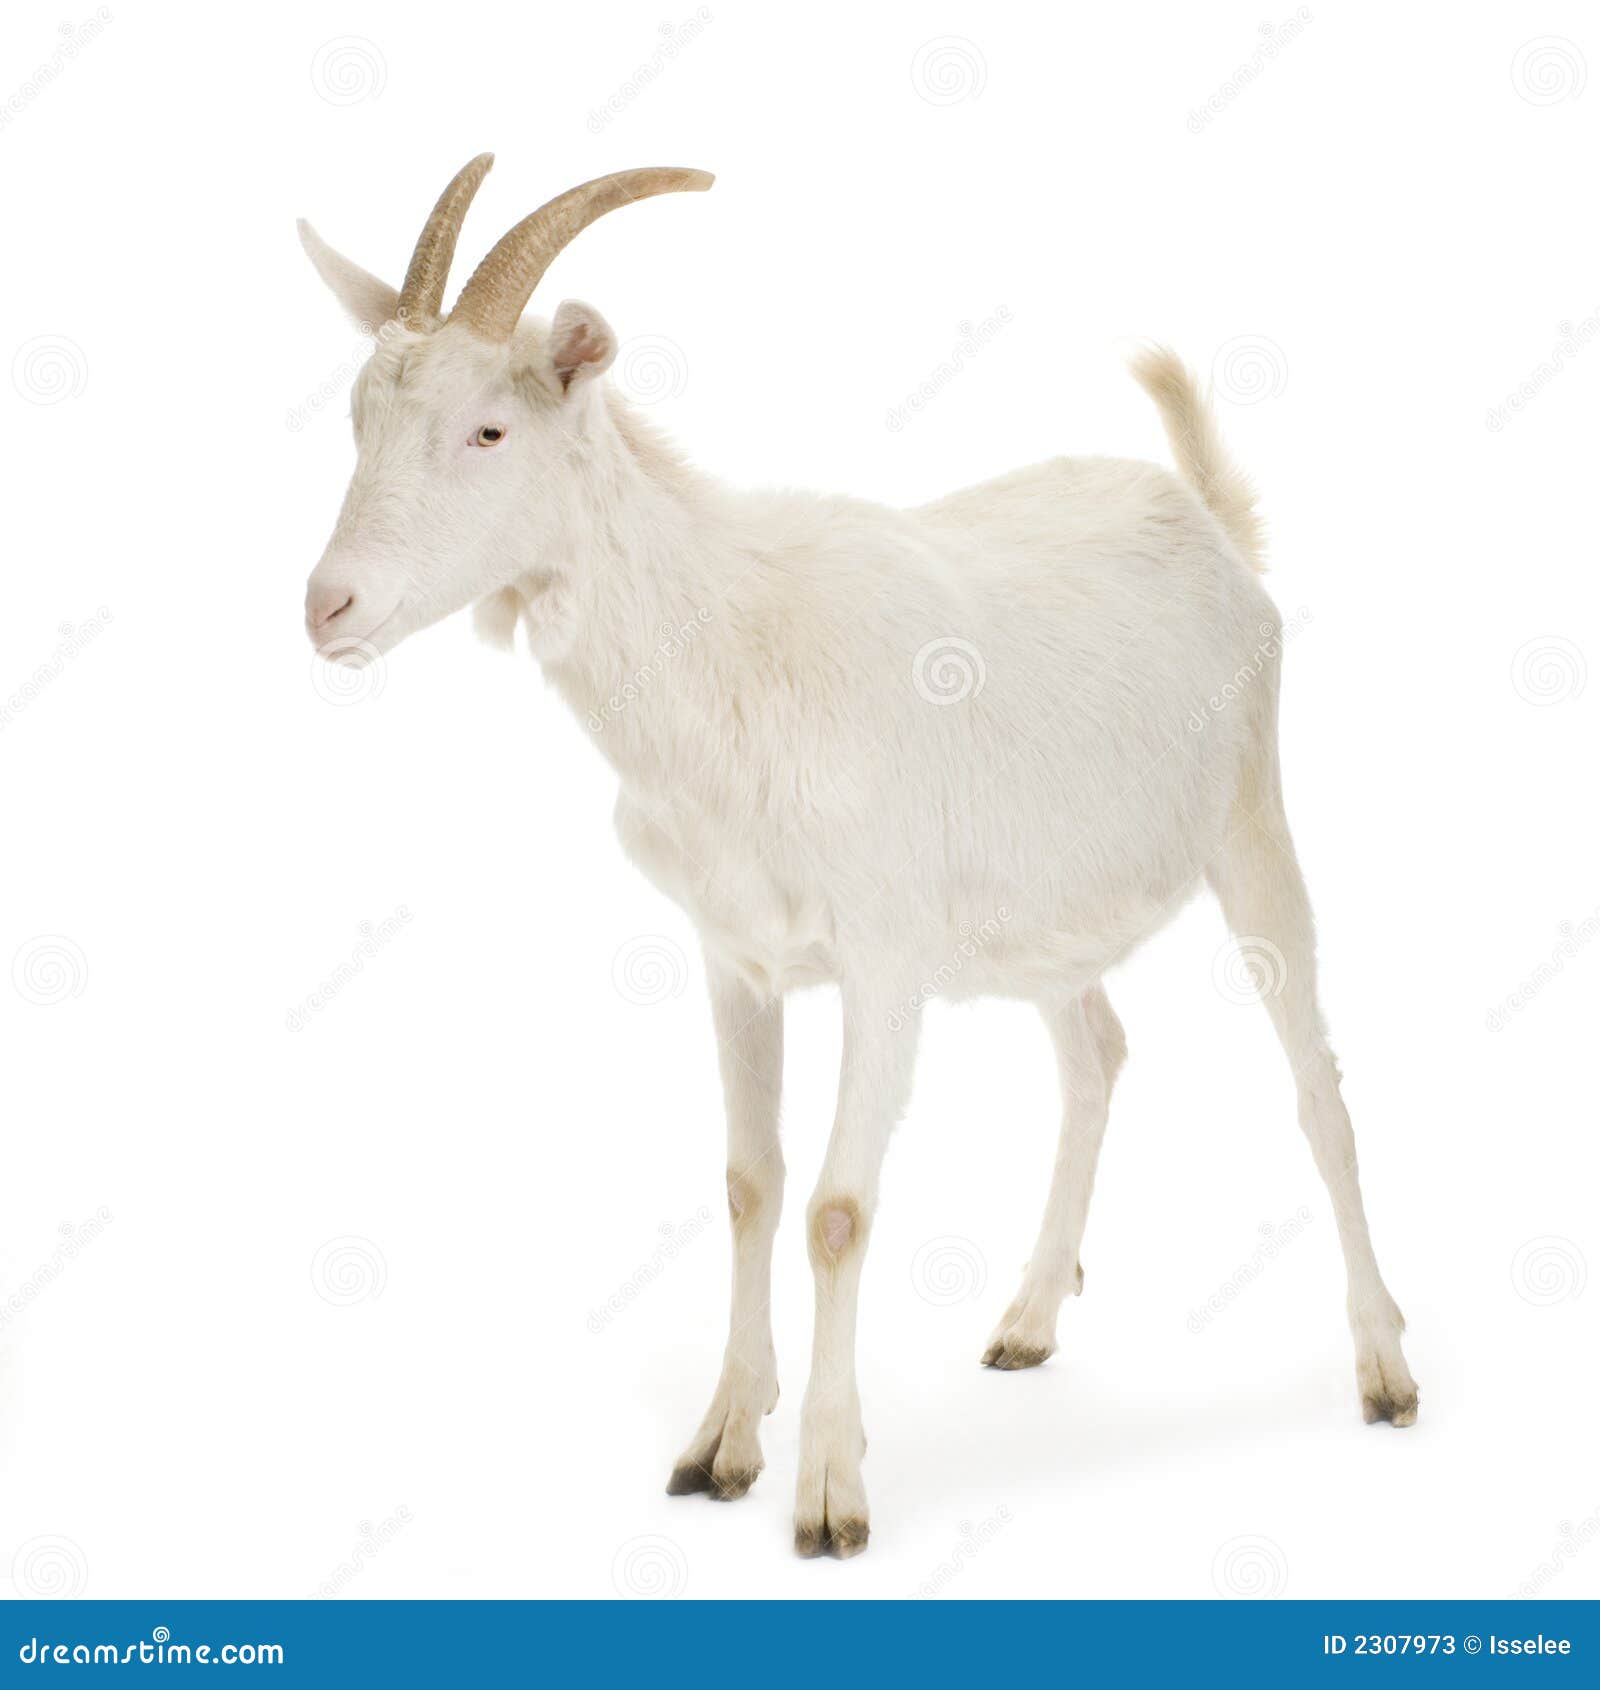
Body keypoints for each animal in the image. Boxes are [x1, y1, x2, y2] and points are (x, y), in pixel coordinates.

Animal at [297, 156, 1418, 1560]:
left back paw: (1384, 1365)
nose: (326, 607)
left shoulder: (886, 960)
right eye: (357, 420)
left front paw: (829, 1488)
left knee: (1318, 1087)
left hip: (1251, 820)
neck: (730, 649)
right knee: (1095, 1053)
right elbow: (748, 1184)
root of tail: (1209, 520)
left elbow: (837, 1210)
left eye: (488, 432)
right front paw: (722, 1439)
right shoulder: (734, 957)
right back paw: (1029, 1319)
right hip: (1040, 917)